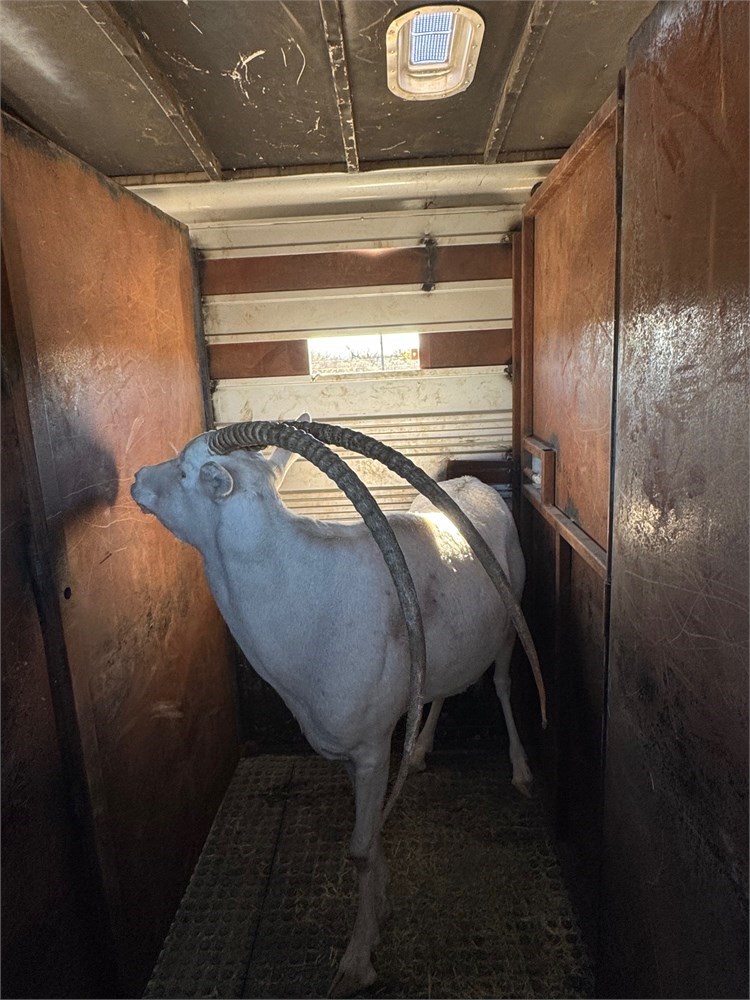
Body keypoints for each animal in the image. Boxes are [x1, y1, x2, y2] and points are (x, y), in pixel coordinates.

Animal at [131, 418, 544, 997]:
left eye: (189, 471)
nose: (137, 479)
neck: (305, 589)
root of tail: (474, 485)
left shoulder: (371, 750)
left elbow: (359, 849)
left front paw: (356, 960)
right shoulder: (354, 754)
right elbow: (369, 839)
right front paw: (382, 903)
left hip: (509, 627)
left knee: (504, 684)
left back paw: (522, 772)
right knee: (443, 688)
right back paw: (421, 752)